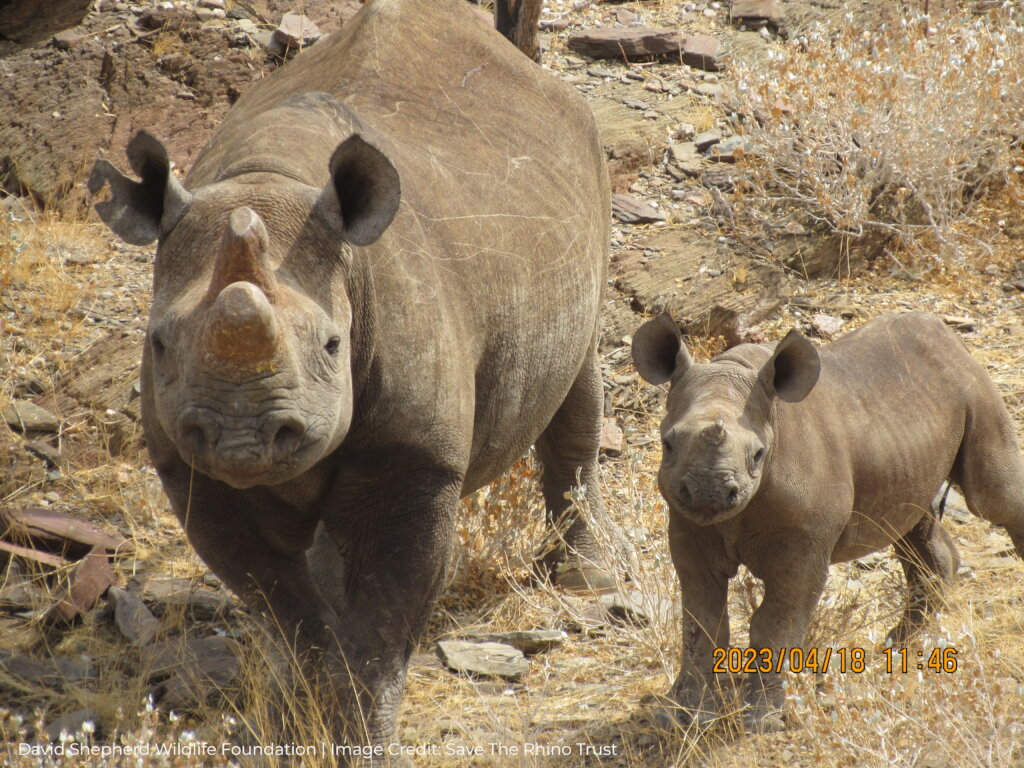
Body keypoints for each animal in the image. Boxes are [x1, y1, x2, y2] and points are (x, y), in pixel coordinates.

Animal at [89, 0, 614, 750]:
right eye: (159, 343)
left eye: (334, 345)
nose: (243, 441)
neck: (265, 182)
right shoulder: (192, 470)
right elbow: (280, 601)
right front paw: (301, 717)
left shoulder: (415, 454)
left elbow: (385, 610)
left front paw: (361, 732)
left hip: (583, 166)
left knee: (579, 374)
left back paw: (584, 584)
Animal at [631, 311, 1024, 732]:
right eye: (668, 444)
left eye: (758, 454)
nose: (709, 492)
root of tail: (950, 339)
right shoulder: (689, 526)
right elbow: (701, 622)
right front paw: (683, 716)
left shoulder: (805, 544)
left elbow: (775, 622)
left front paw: (761, 721)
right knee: (909, 522)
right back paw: (894, 648)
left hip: (973, 388)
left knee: (991, 497)